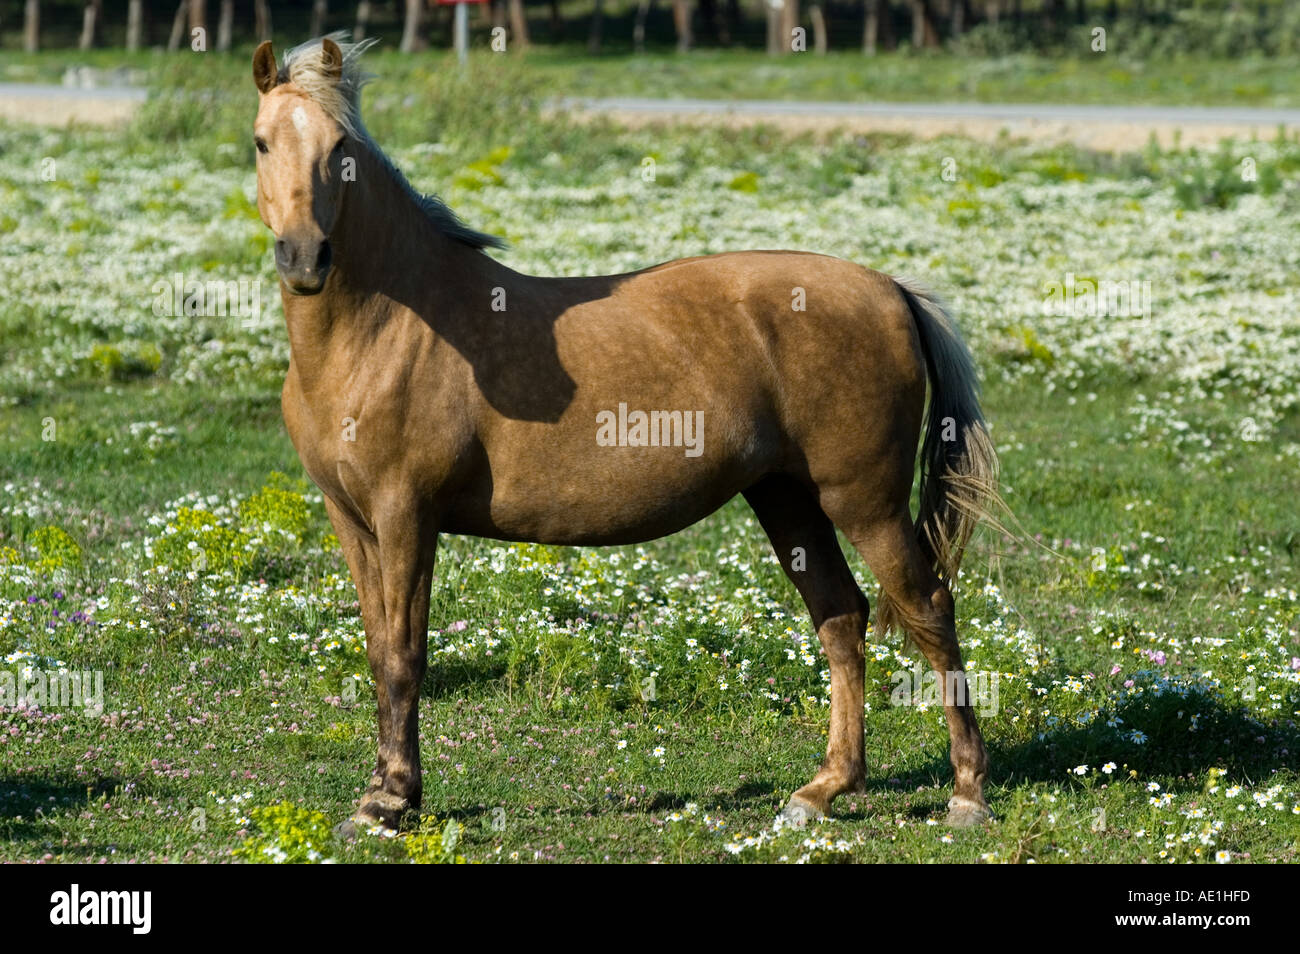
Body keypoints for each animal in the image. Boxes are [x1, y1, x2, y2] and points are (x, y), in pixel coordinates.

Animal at [251, 35, 1003, 837]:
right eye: (262, 141)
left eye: (340, 150)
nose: (305, 257)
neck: (389, 330)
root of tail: (890, 289)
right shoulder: (352, 518)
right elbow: (378, 648)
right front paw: (384, 792)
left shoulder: (405, 515)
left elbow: (403, 654)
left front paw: (390, 800)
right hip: (788, 500)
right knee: (842, 617)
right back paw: (822, 789)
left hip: (865, 503)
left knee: (929, 610)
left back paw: (966, 793)